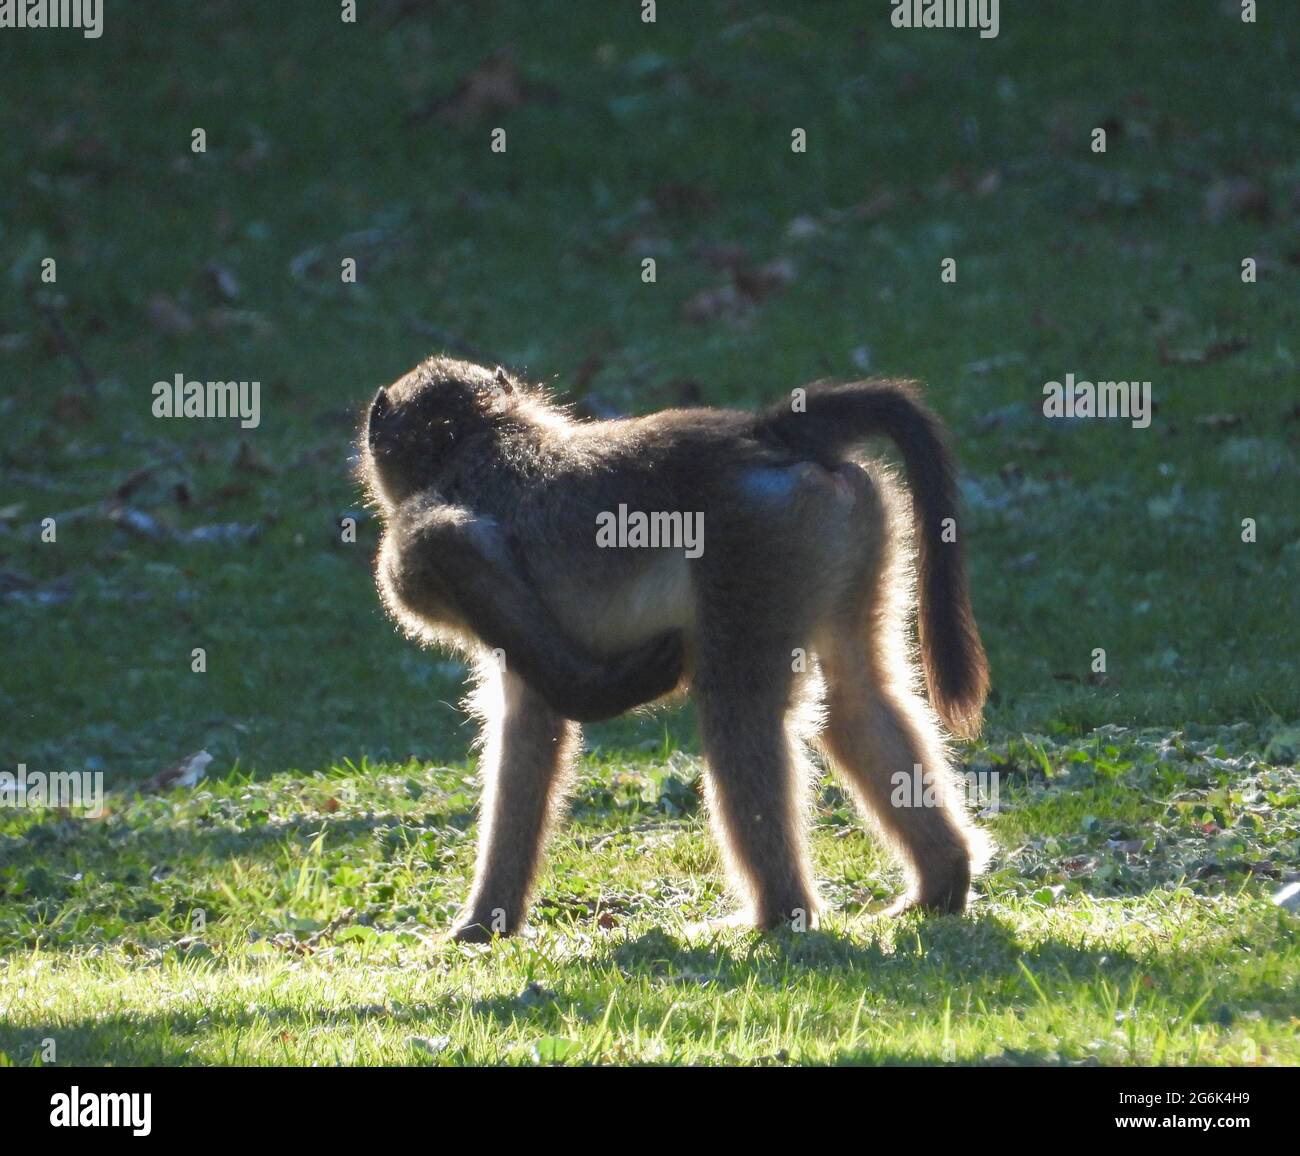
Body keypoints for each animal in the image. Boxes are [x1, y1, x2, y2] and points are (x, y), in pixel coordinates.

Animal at [359, 355, 990, 942]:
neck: (483, 433)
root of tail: (759, 433)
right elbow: (531, 729)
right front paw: (487, 924)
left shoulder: (417, 544)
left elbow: (461, 544)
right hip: (846, 524)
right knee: (855, 696)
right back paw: (941, 883)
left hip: (753, 543)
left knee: (738, 713)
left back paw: (779, 916)